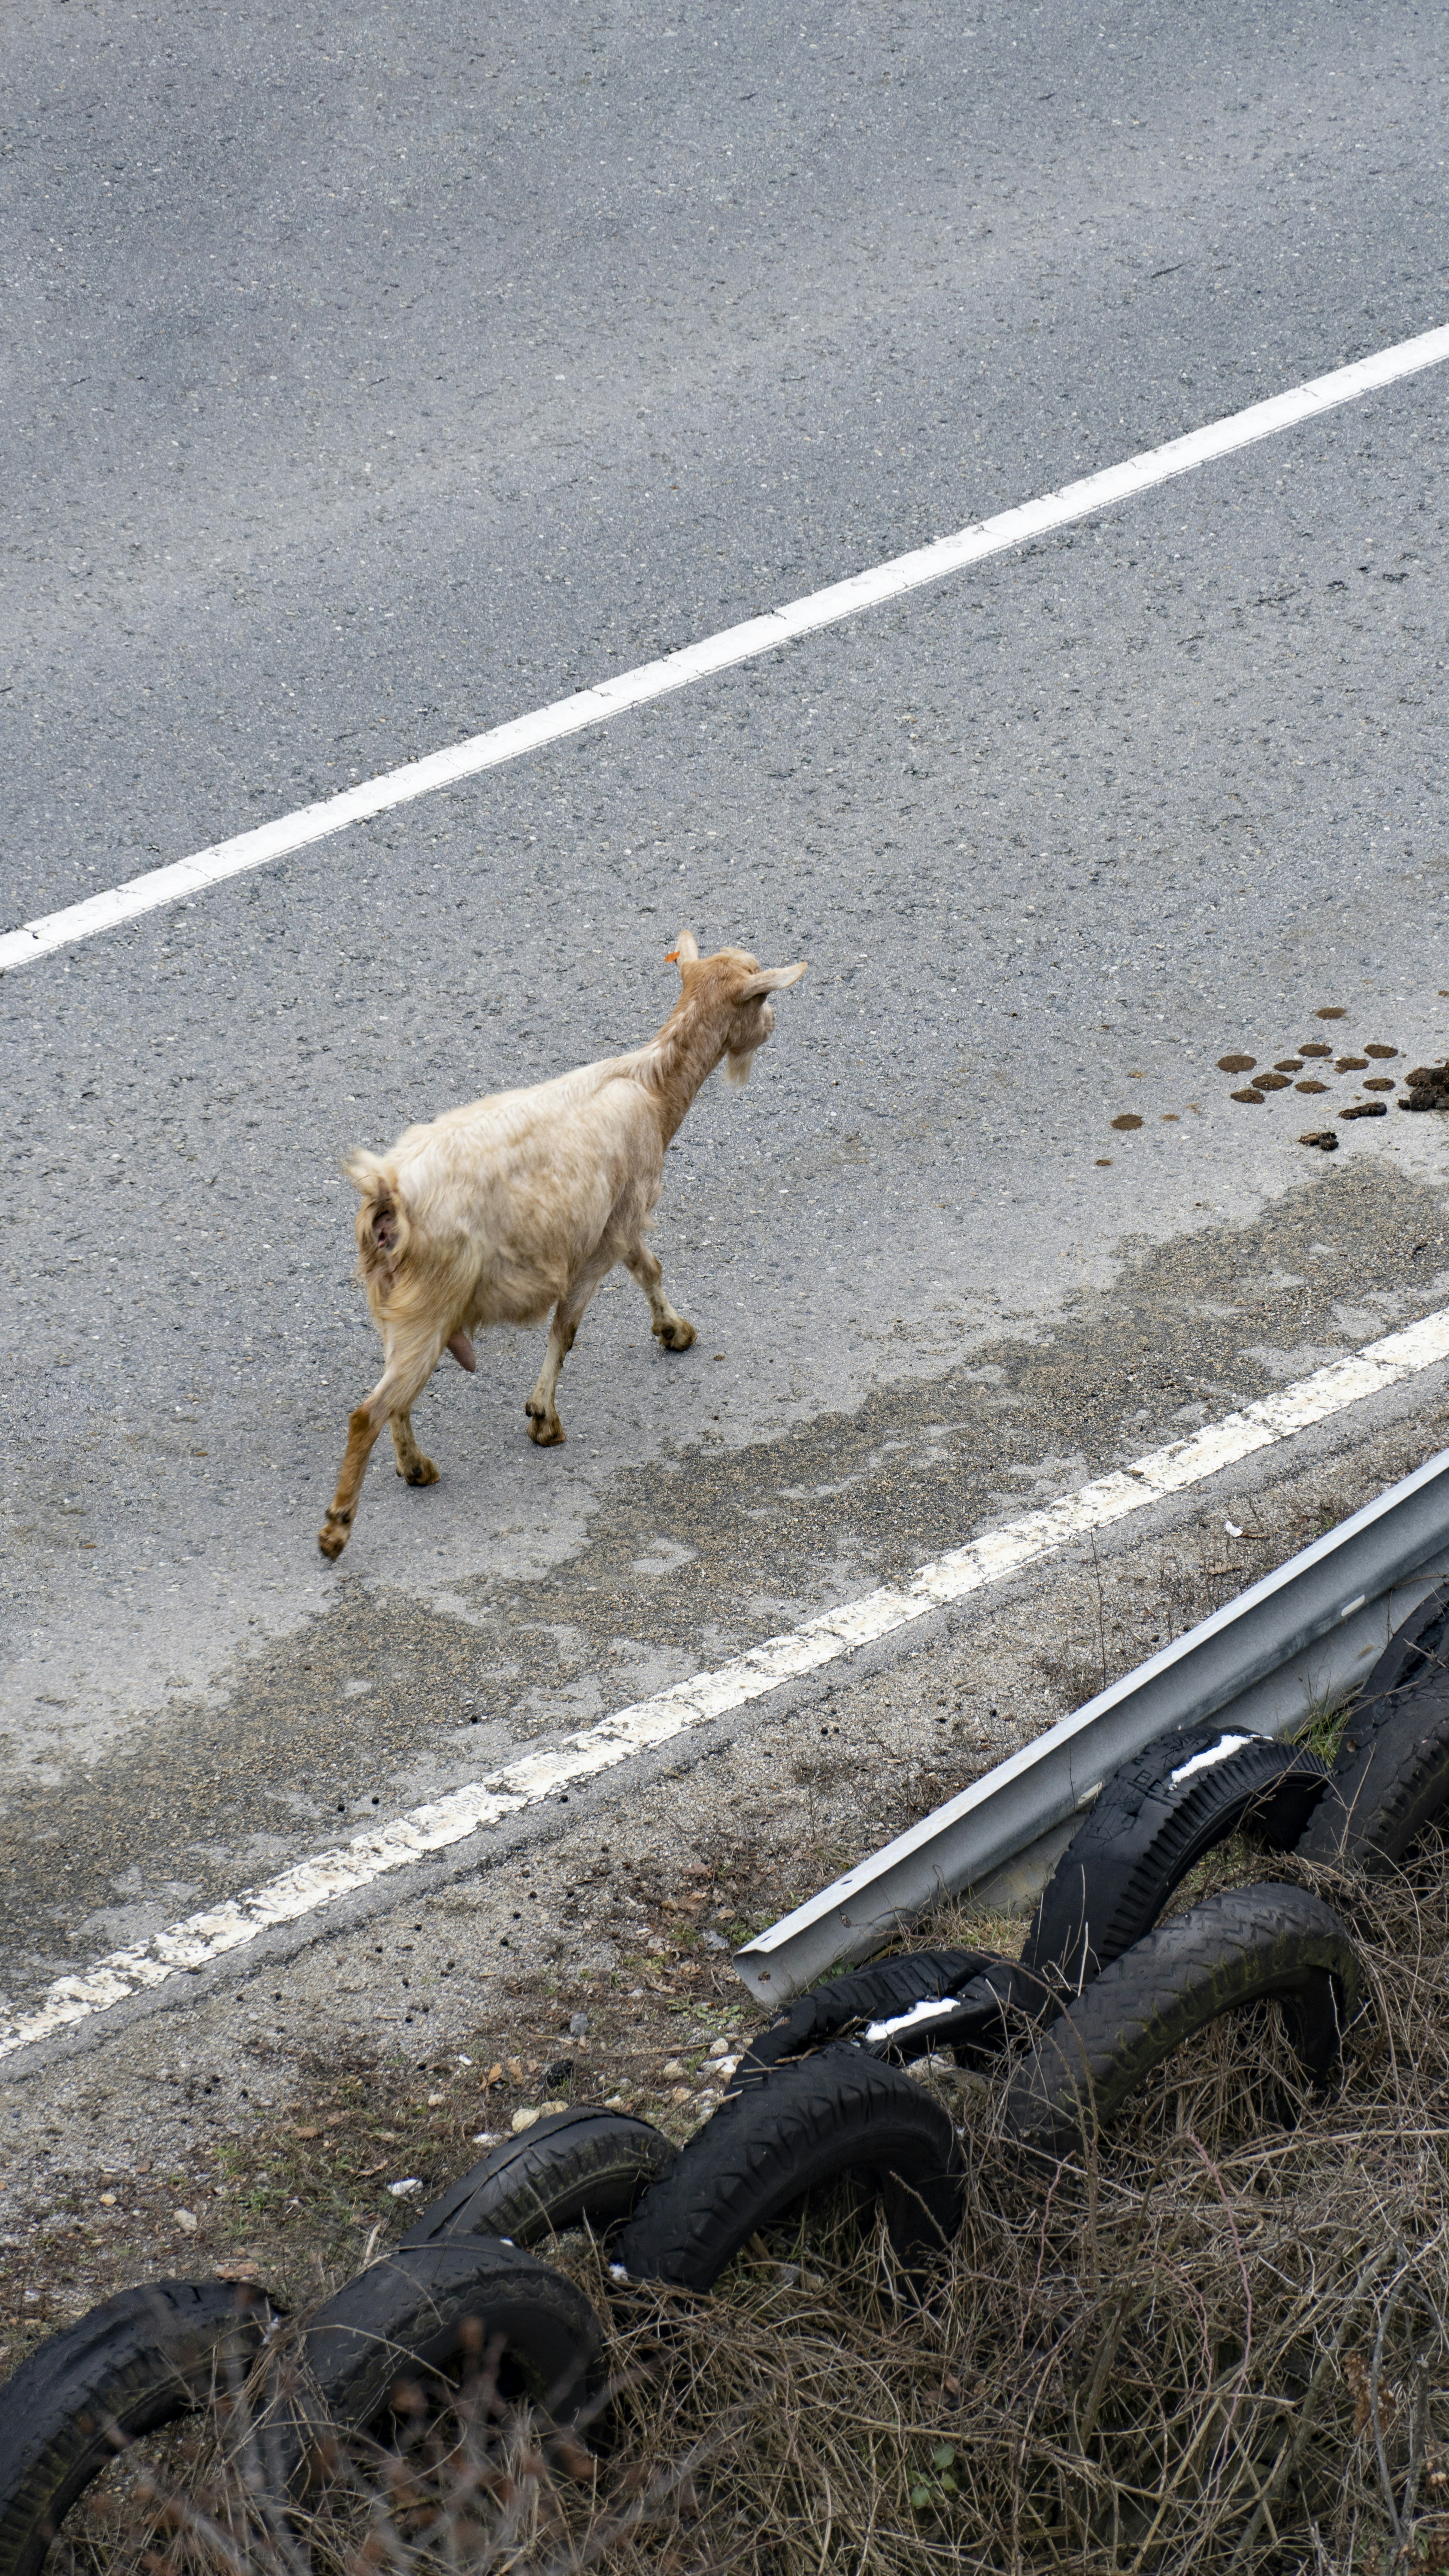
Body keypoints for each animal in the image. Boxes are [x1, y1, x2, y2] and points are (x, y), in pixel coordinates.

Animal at [318, 934, 806, 1561]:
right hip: (432, 1302)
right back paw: (337, 1528)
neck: (652, 1085)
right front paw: (543, 1419)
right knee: (368, 1412)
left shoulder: (617, 1221)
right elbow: (567, 1327)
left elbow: (649, 1268)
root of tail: (387, 1193)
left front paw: (674, 1331)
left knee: (392, 1399)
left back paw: (416, 1467)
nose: (772, 1025)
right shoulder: (606, 1231)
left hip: (397, 1306)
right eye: (762, 995)